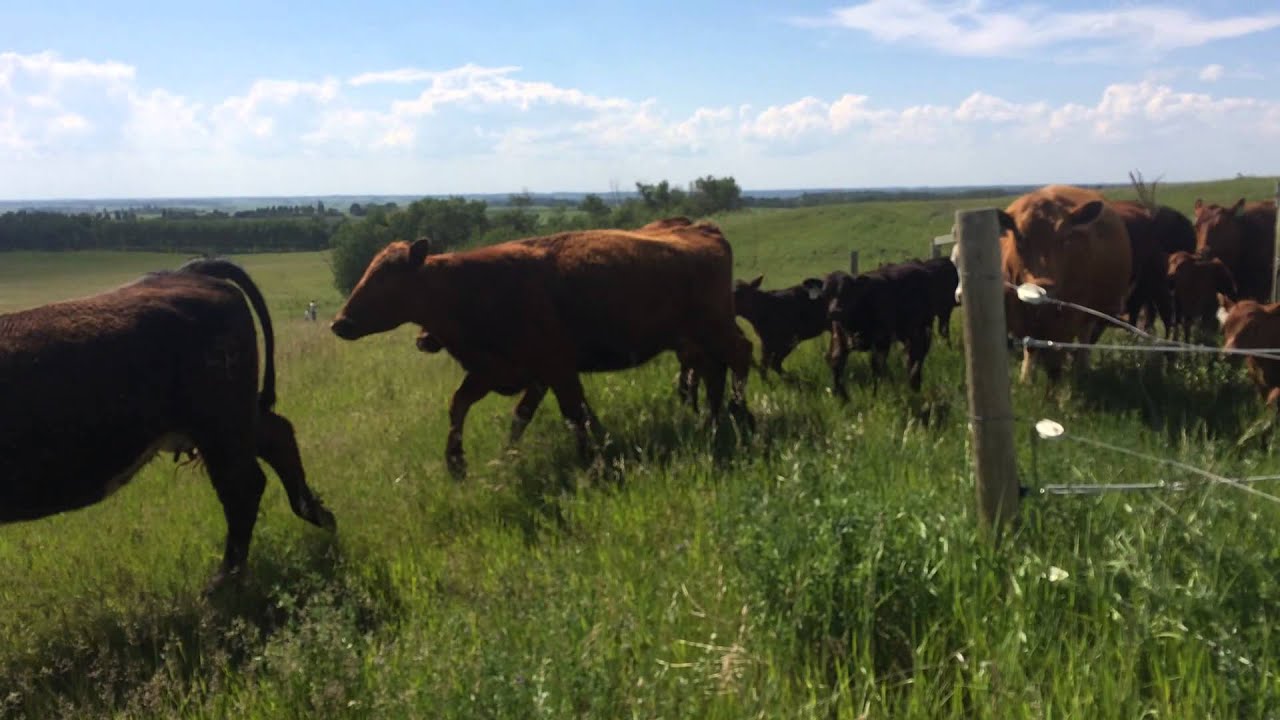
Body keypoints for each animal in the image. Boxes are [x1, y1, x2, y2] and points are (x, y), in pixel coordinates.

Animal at [0, 259, 336, 588]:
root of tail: (189, 272)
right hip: (233, 422)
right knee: (276, 438)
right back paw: (319, 515)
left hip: (220, 427)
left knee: (243, 486)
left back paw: (222, 581)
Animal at [330, 218, 753, 478]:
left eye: (386, 278)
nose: (340, 322)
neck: (471, 287)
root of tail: (703, 229)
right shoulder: (505, 371)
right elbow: (473, 406)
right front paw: (466, 463)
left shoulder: (555, 370)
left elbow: (574, 414)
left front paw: (593, 461)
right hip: (696, 341)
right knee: (715, 371)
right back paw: (712, 420)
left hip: (715, 329)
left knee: (741, 355)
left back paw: (739, 415)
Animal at [822, 261, 936, 398]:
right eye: (825, 294)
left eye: (848, 291)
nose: (835, 311)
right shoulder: (839, 341)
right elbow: (836, 364)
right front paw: (843, 398)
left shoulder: (882, 341)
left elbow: (877, 366)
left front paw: (876, 395)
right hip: (907, 333)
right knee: (909, 356)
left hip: (922, 328)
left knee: (919, 354)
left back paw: (915, 382)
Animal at [999, 185, 1132, 383]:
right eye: (1020, 237)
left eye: (1065, 237)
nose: (1044, 285)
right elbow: (1030, 348)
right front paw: (1026, 380)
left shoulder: (1066, 321)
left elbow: (1054, 361)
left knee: (1084, 338)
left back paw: (1082, 368)